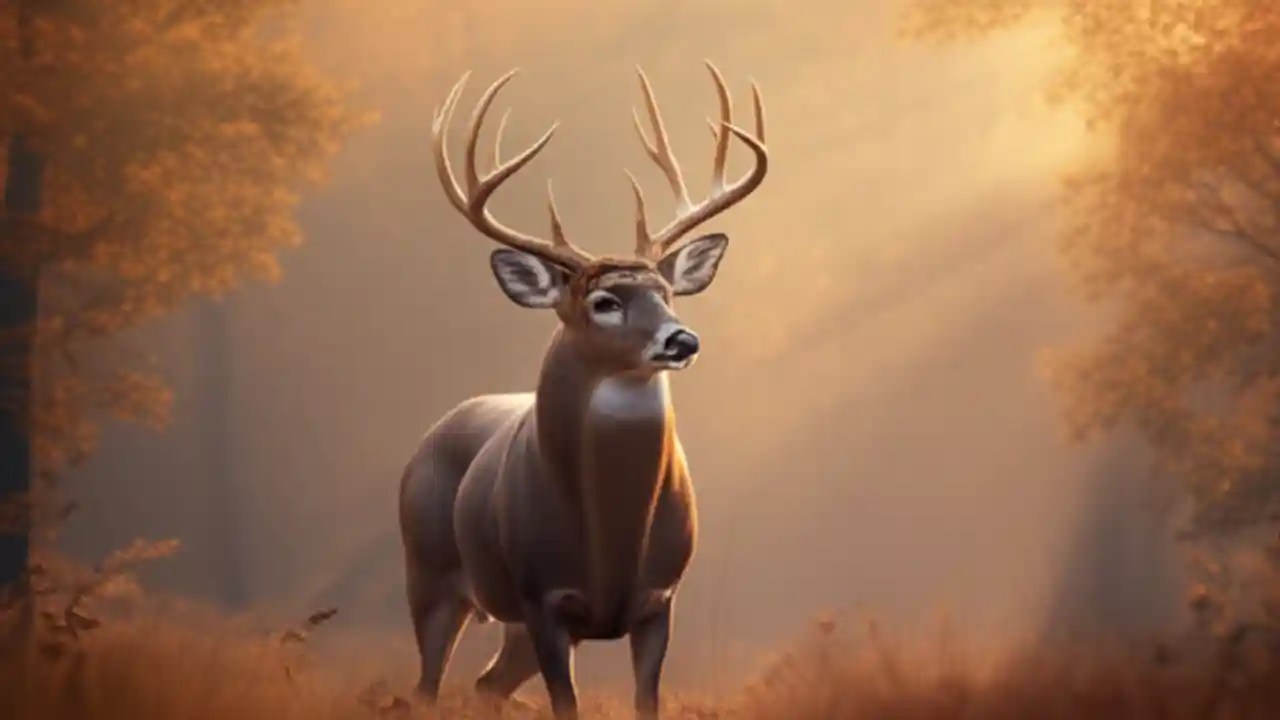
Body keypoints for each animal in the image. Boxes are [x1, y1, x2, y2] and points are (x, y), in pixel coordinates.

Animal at [397, 62, 767, 720]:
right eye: (604, 302)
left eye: (666, 294)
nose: (682, 339)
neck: (610, 540)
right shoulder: (543, 599)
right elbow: (564, 704)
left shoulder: (660, 601)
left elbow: (647, 702)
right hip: (430, 570)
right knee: (428, 685)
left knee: (485, 684)